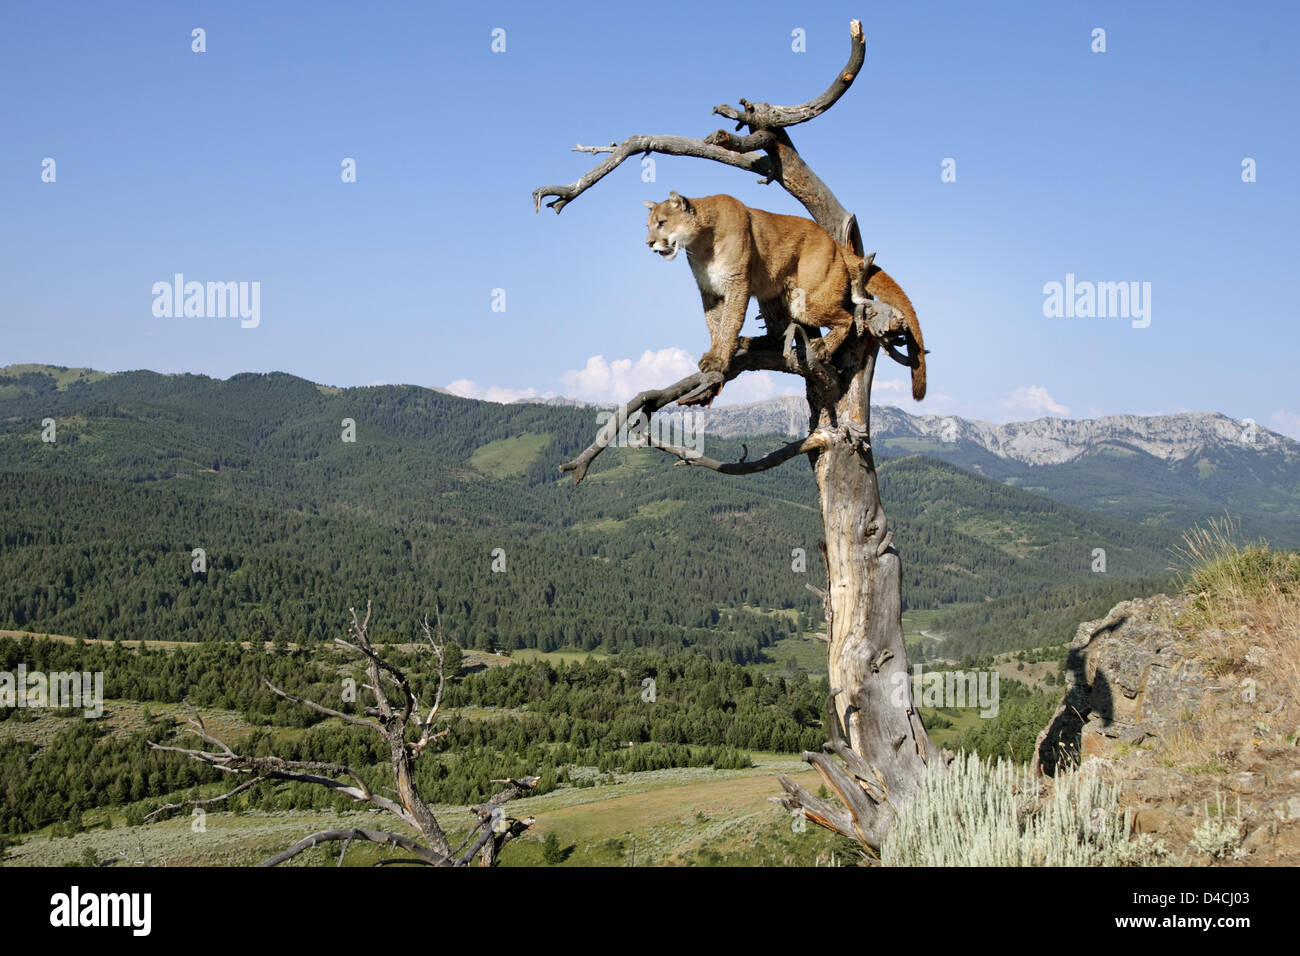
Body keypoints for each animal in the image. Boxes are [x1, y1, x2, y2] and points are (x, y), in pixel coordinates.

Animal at [644, 191, 925, 402]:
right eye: (648, 225)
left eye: (662, 222)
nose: (648, 243)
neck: (701, 244)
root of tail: (833, 242)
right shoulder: (709, 290)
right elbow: (714, 324)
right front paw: (716, 354)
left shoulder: (737, 285)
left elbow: (729, 322)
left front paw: (718, 361)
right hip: (771, 295)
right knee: (777, 332)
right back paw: (750, 342)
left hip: (806, 300)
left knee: (846, 318)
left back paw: (822, 347)